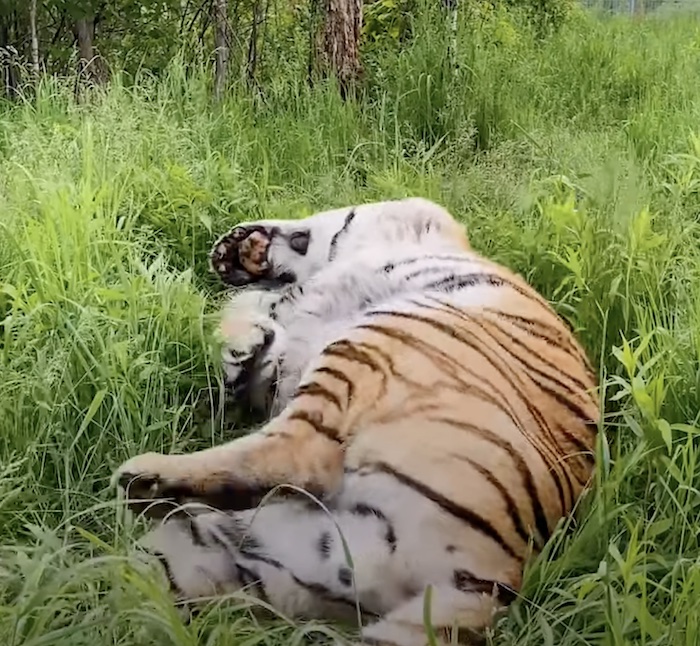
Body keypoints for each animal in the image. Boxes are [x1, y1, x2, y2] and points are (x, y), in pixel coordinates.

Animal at [113, 197, 600, 646]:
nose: (235, 255)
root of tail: (502, 575)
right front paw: (244, 342)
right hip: (252, 551)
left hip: (373, 345)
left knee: (301, 456)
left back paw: (144, 477)